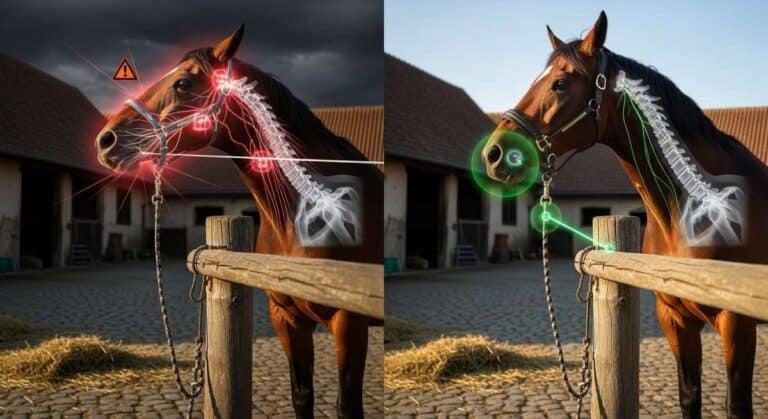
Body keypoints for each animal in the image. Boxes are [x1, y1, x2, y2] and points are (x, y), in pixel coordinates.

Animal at [94, 25, 382, 419]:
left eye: (183, 83)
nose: (105, 140)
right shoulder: (286, 317)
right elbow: (301, 394)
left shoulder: (348, 322)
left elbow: (347, 406)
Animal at [481, 11, 767, 419]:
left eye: (561, 83)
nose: (494, 153)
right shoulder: (674, 318)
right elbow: (689, 395)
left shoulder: (736, 323)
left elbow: (738, 406)